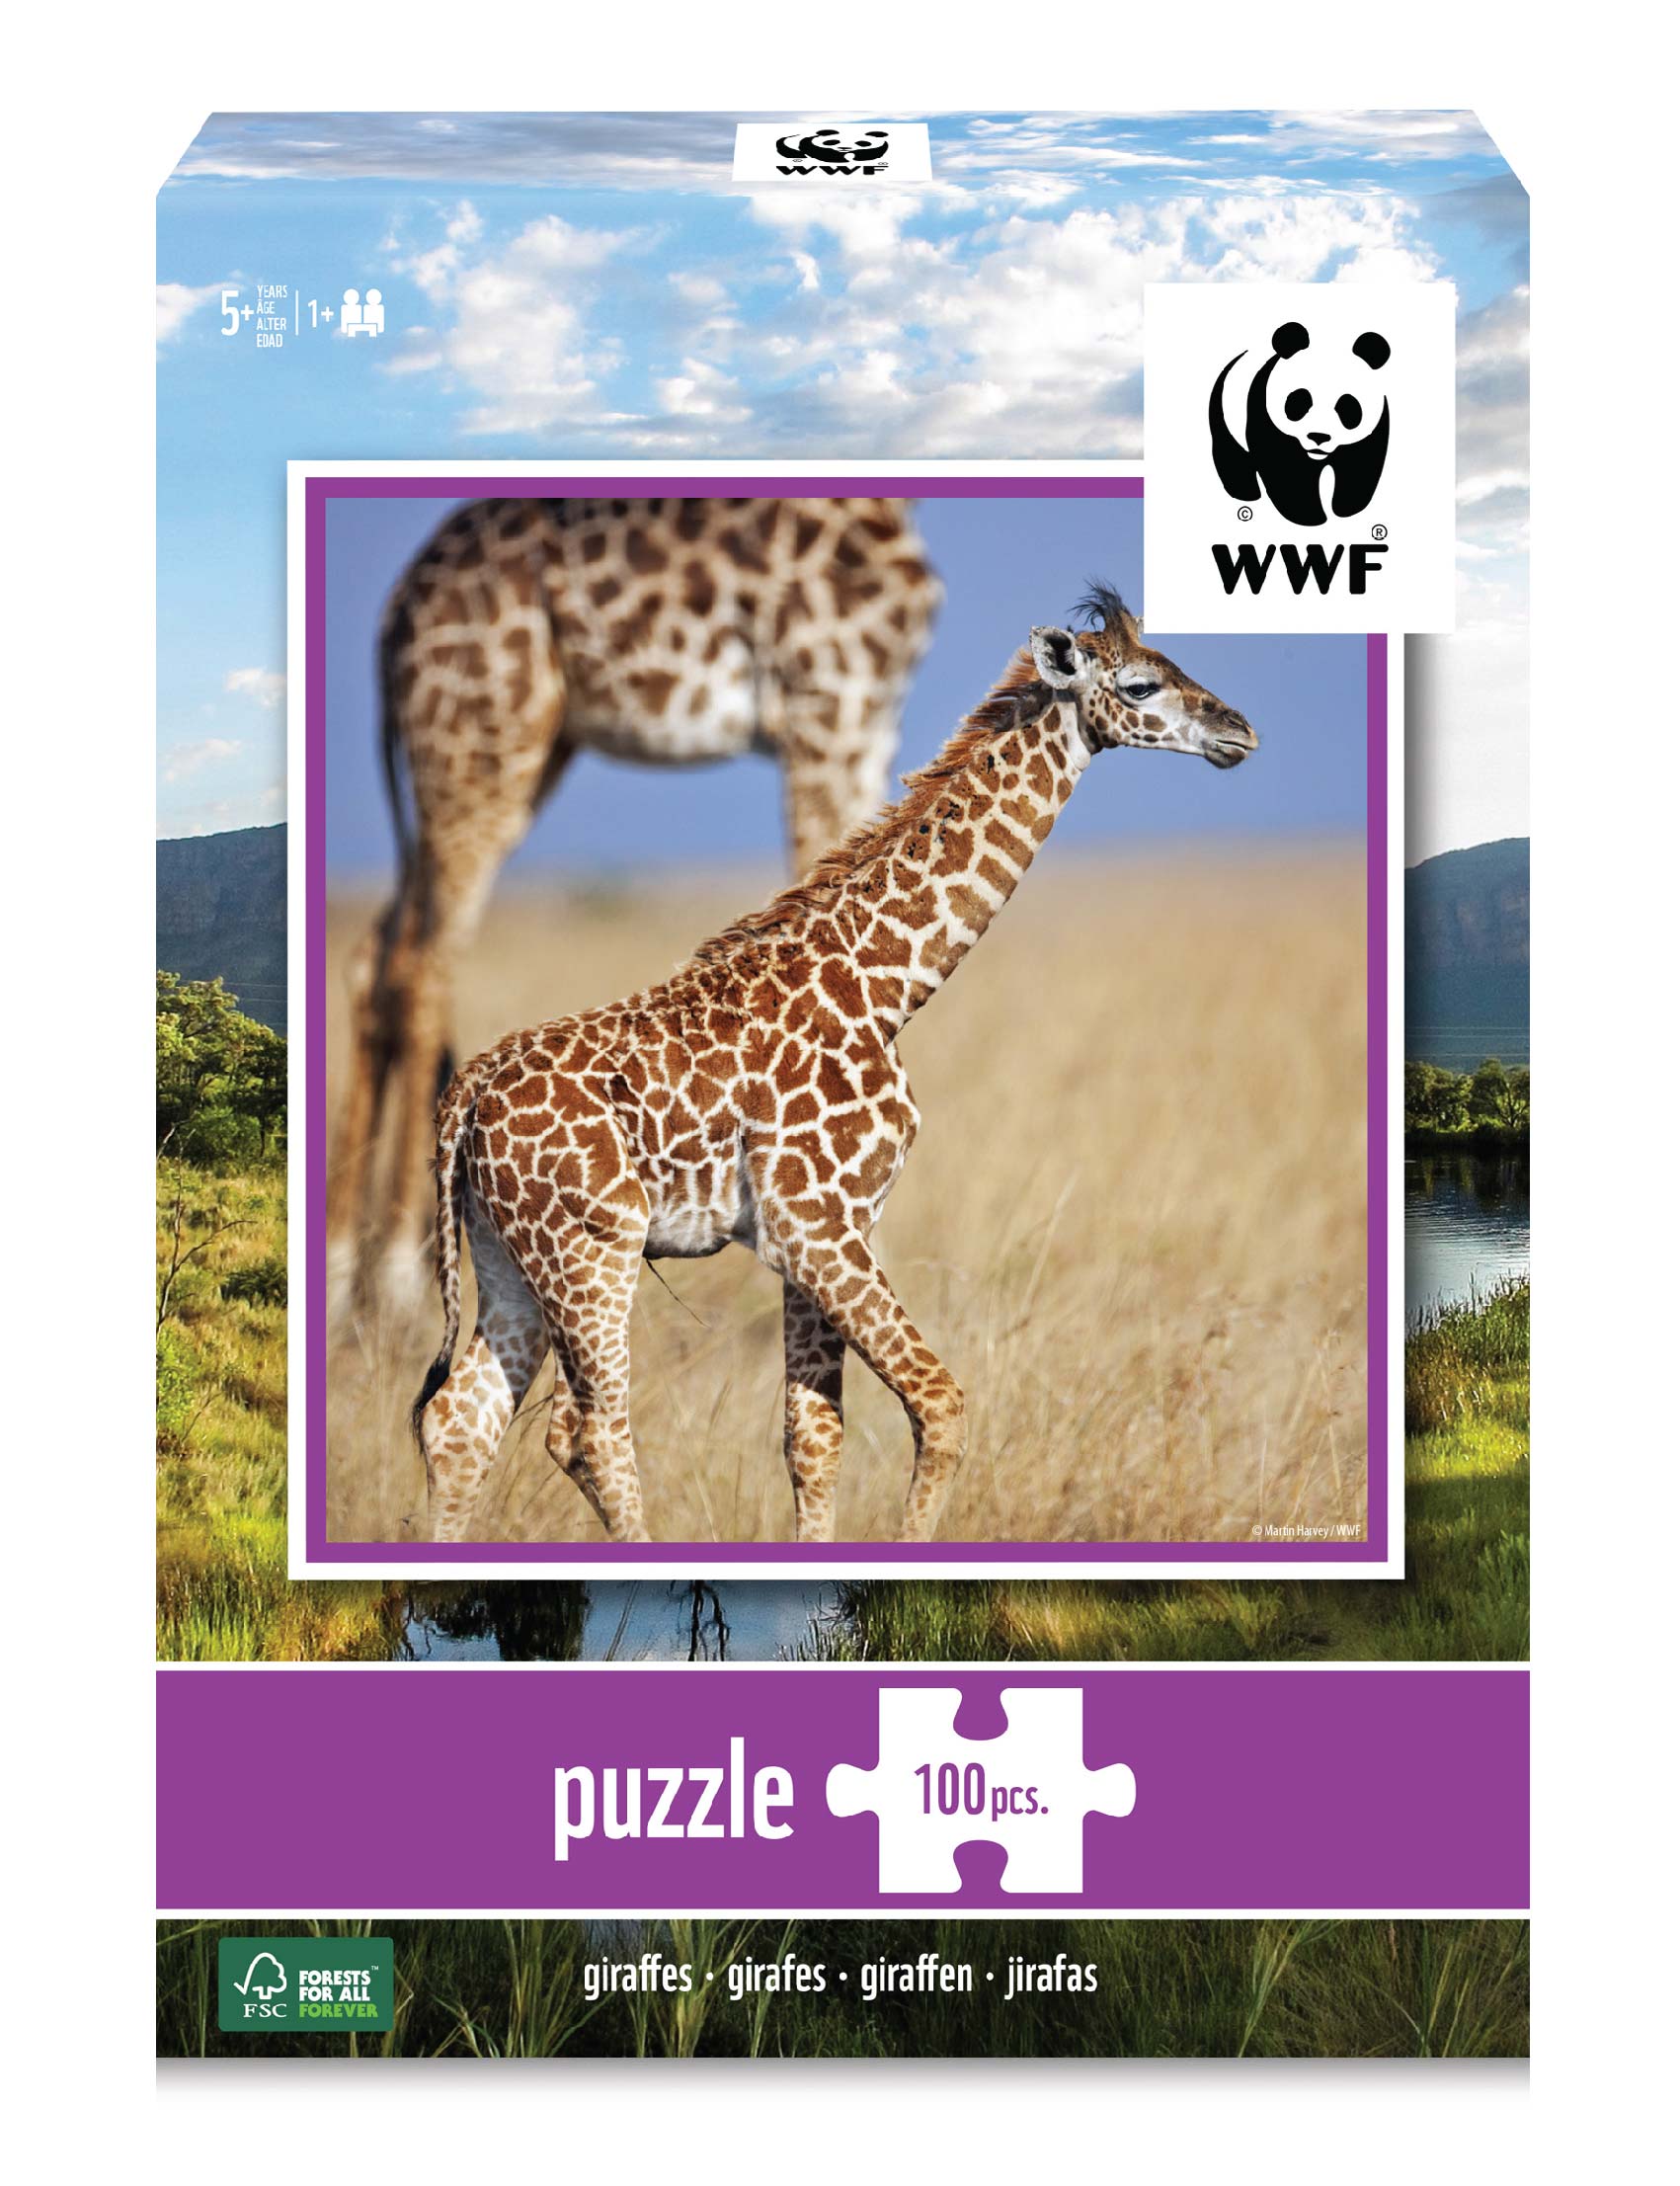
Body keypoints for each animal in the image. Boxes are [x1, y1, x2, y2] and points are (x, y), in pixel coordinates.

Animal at [327, 495, 940, 1312]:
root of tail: (397, 613)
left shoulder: (869, 719)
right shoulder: (827, 703)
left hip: (514, 747)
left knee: (378, 956)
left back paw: (341, 1271)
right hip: (480, 738)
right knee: (421, 965)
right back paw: (396, 1276)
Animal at [413, 586, 1258, 1545]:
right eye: (1141, 683)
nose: (1238, 731)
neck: (887, 984)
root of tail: (465, 1096)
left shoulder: (828, 1226)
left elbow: (812, 1434)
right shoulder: (816, 1225)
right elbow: (939, 1401)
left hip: (502, 1253)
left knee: (461, 1420)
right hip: (591, 1247)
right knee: (585, 1429)